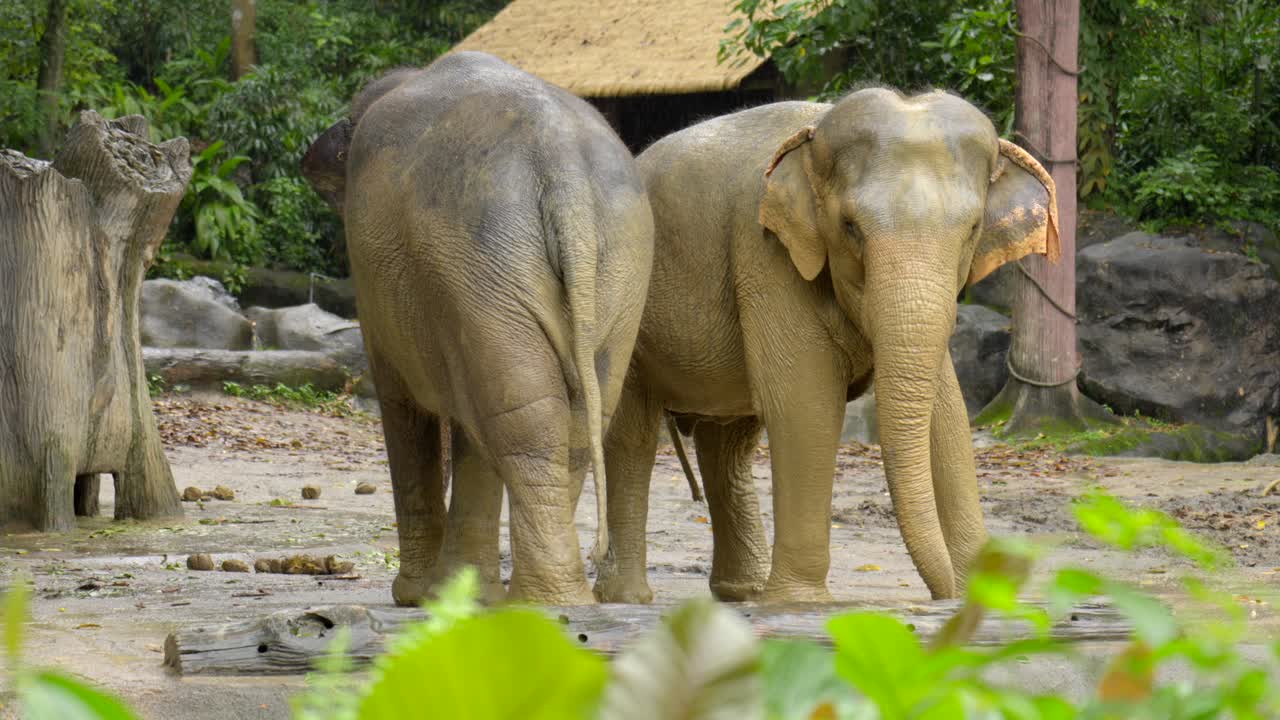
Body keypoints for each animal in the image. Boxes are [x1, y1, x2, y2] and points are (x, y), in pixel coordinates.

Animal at [300, 51, 654, 606]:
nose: (303, 154)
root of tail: (563, 169)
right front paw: (457, 595)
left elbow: (404, 408)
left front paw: (416, 596)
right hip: (608, 265)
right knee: (566, 417)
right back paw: (554, 598)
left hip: (488, 261)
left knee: (524, 420)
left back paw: (541, 601)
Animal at [594, 88, 1059, 604]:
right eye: (851, 227)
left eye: (974, 229)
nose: (942, 594)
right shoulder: (766, 252)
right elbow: (804, 403)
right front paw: (798, 603)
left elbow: (949, 413)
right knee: (633, 434)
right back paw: (627, 597)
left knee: (728, 443)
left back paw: (741, 591)